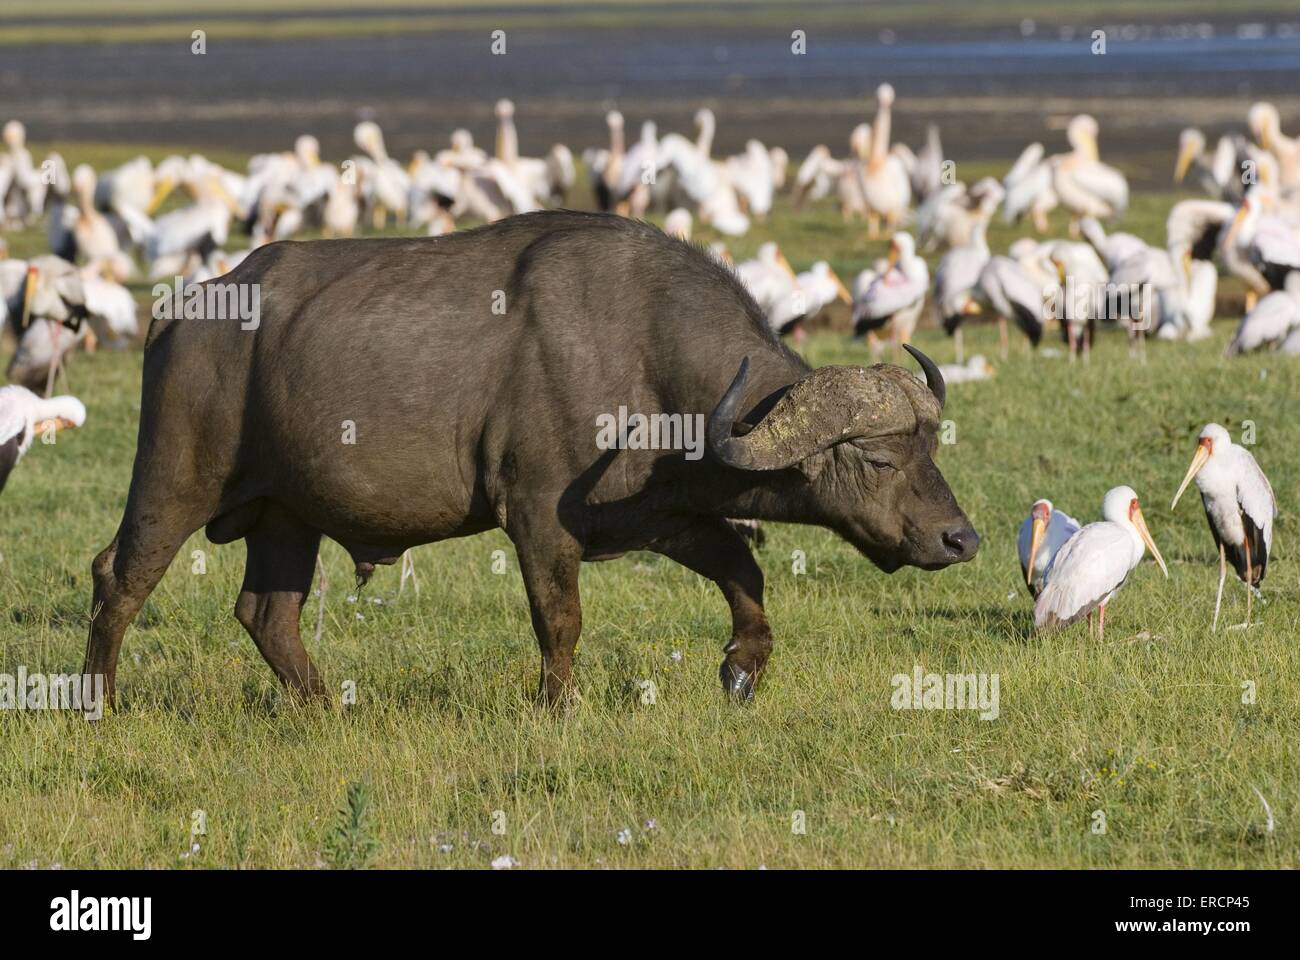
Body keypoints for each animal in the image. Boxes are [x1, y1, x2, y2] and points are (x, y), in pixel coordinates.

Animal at [85, 211, 977, 707]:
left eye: (931, 446)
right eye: (876, 457)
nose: (960, 539)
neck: (648, 359)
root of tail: (184, 310)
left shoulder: (669, 515)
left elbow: (745, 578)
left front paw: (740, 672)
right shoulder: (541, 518)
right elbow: (561, 619)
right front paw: (559, 707)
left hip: (286, 516)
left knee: (268, 616)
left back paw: (324, 708)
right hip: (175, 478)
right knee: (118, 577)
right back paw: (98, 703)